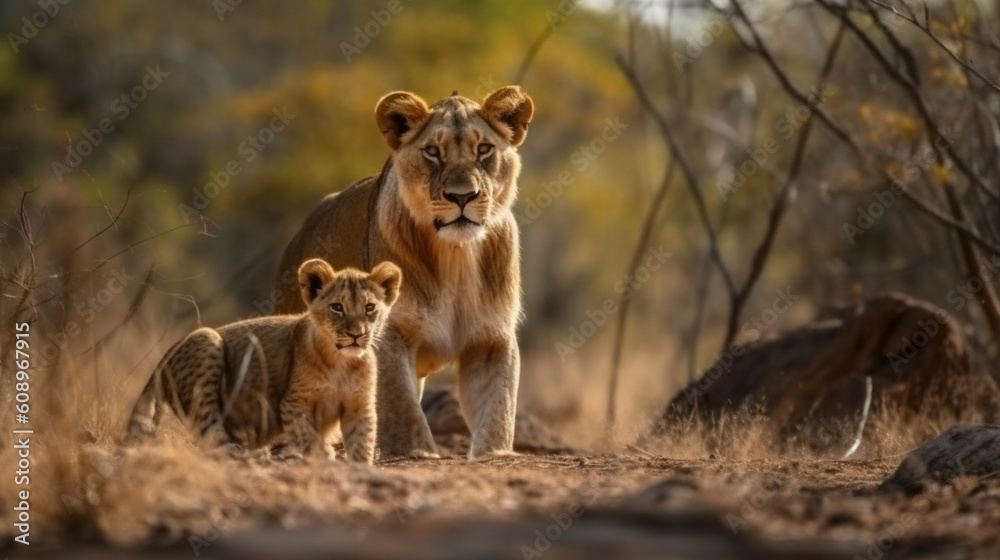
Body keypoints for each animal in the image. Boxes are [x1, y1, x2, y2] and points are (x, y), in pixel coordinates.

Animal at [125, 258, 402, 464]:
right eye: (337, 308)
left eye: (369, 308)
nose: (356, 335)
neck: (343, 363)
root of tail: (165, 353)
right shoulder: (292, 405)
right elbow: (310, 439)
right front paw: (325, 457)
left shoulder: (359, 406)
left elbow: (362, 443)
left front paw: (359, 467)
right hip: (206, 342)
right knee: (209, 432)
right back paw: (242, 452)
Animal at [274, 86, 533, 459]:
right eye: (432, 152)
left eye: (484, 149)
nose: (463, 196)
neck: (456, 254)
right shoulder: (389, 332)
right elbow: (403, 408)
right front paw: (418, 452)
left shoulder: (491, 337)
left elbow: (499, 408)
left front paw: (495, 453)